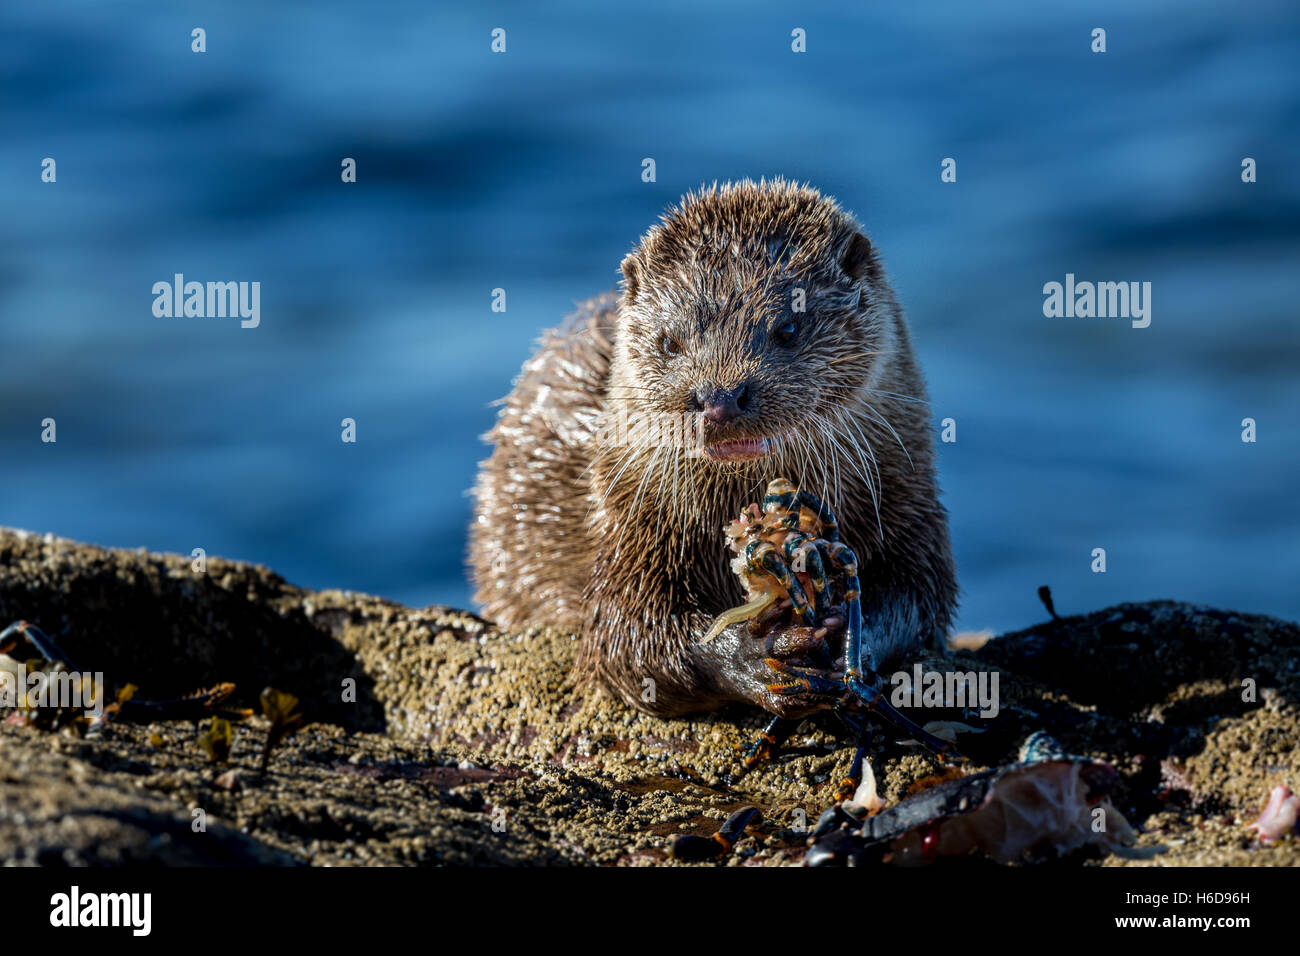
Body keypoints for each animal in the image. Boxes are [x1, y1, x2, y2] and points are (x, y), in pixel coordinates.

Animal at [470, 178, 956, 720]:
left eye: (788, 329)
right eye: (669, 342)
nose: (719, 398)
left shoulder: (907, 507)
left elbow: (916, 600)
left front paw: (855, 639)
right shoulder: (627, 533)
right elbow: (626, 639)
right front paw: (752, 657)